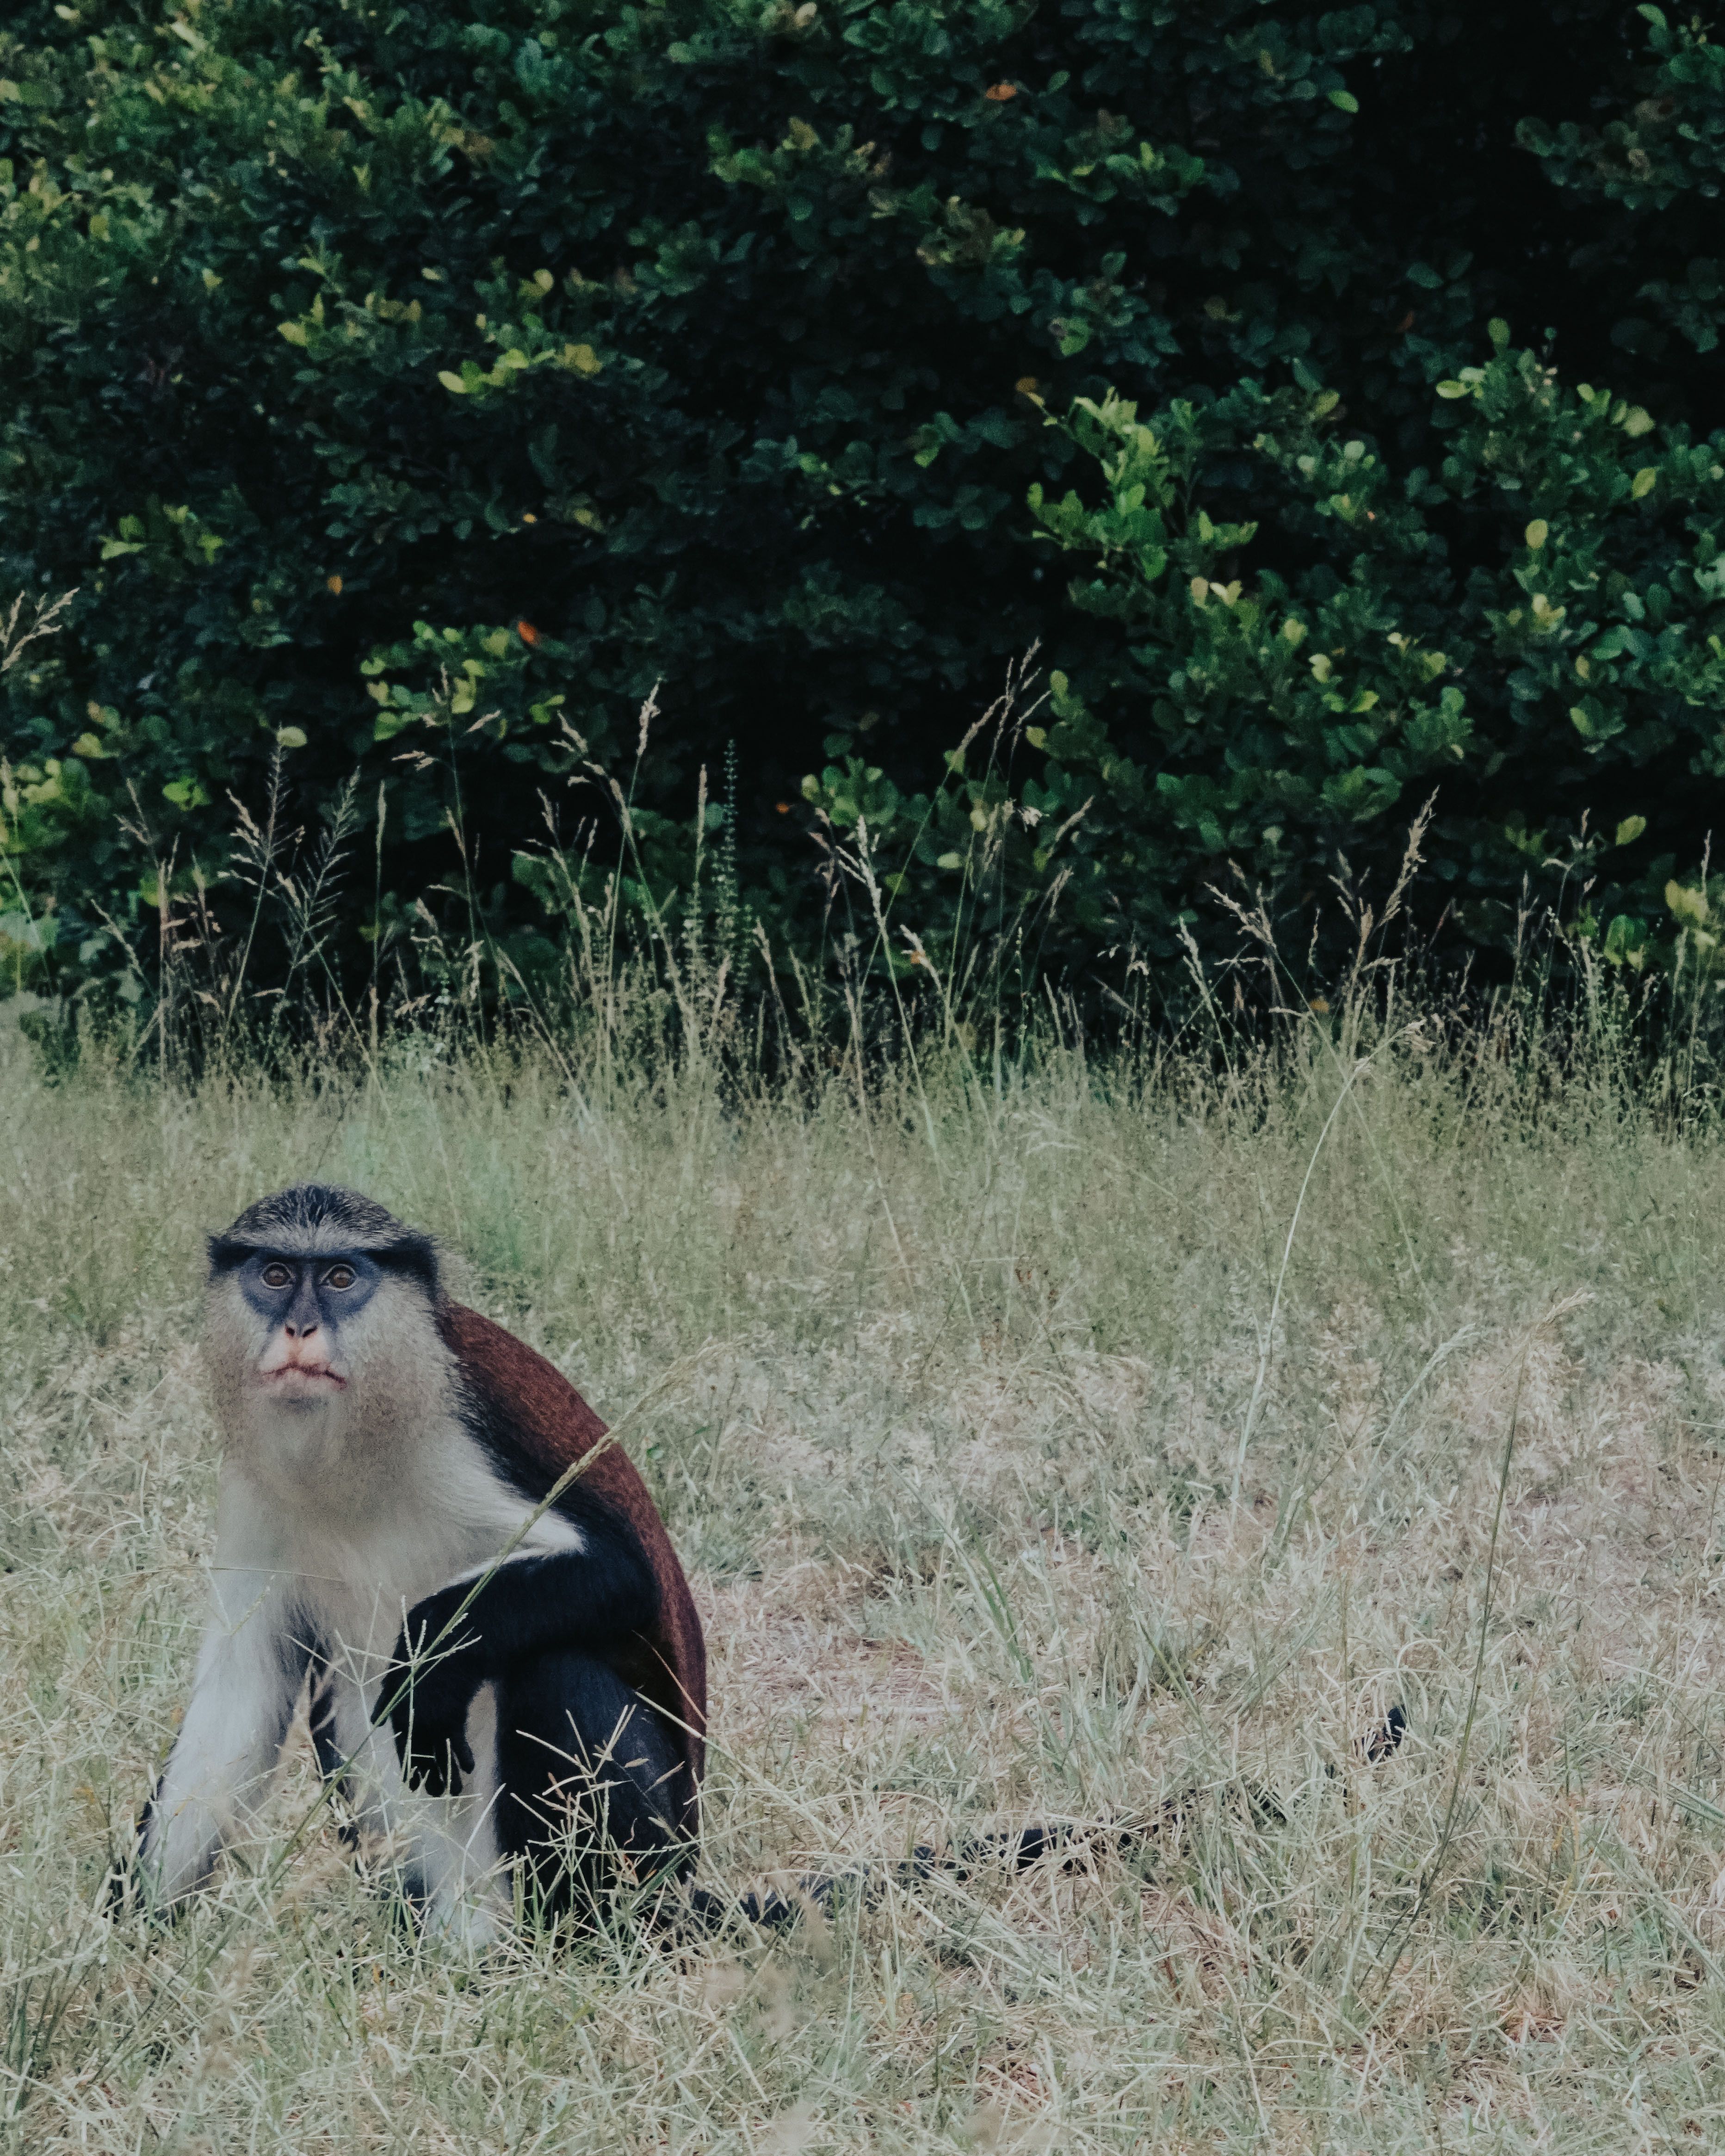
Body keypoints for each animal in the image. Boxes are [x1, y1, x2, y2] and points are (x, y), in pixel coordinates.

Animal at [137, 1183, 705, 1944]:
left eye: (341, 1277)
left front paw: (429, 1661)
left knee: (557, 1667)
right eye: (276, 1275)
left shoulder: (467, 1434)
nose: (298, 1329)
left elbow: (622, 1576)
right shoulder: (253, 1491)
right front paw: (117, 1944)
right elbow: (240, 1693)